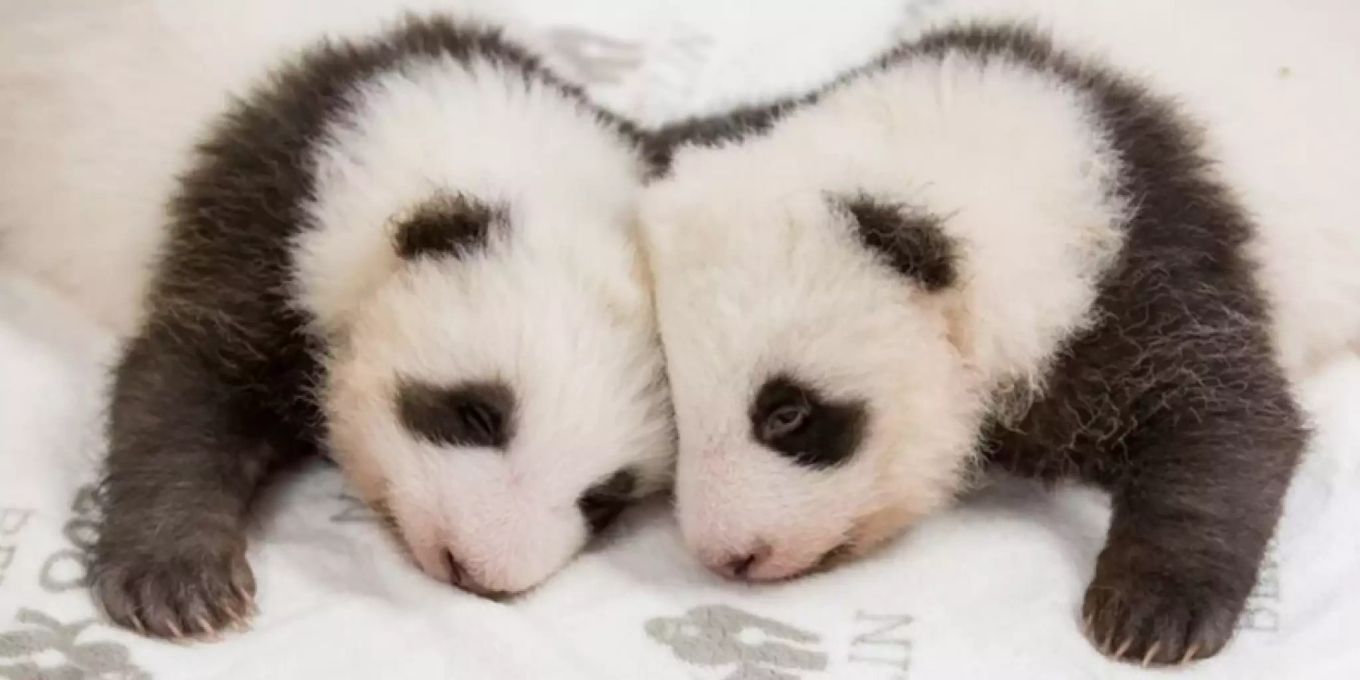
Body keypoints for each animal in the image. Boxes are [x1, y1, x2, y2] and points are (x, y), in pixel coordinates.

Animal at [91, 15, 674, 640]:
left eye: (603, 499)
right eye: (478, 415)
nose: (476, 570)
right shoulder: (260, 222)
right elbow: (182, 379)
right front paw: (179, 582)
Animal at [641, 23, 1360, 666]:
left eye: (788, 414)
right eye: (677, 410)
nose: (728, 557)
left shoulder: (1154, 260)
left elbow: (1231, 415)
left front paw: (1151, 612)